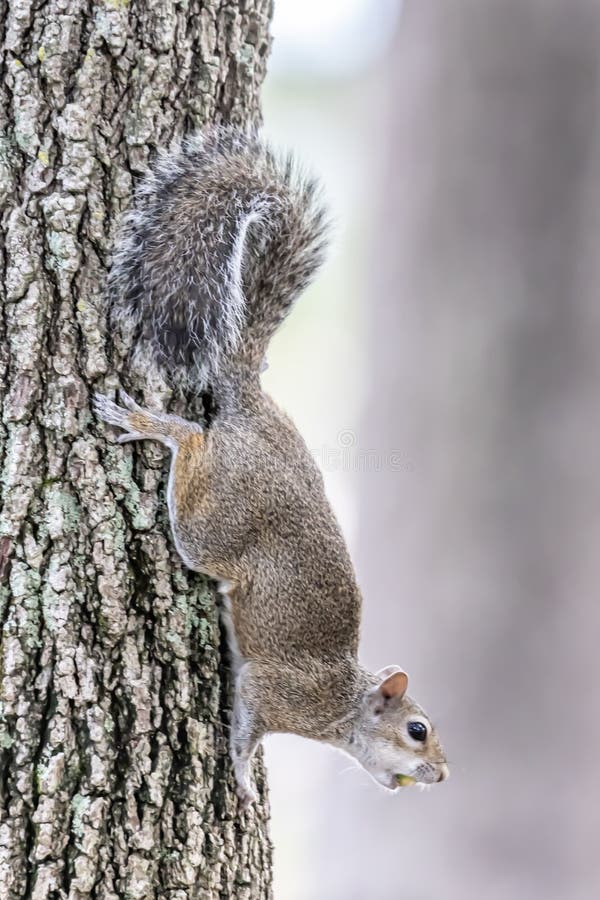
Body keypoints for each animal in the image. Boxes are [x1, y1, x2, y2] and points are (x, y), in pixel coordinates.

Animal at [94, 127, 448, 805]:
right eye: (417, 730)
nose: (443, 775)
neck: (342, 706)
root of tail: (254, 407)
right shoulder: (274, 690)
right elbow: (248, 728)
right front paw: (240, 776)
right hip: (216, 528)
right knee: (193, 448)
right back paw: (158, 426)